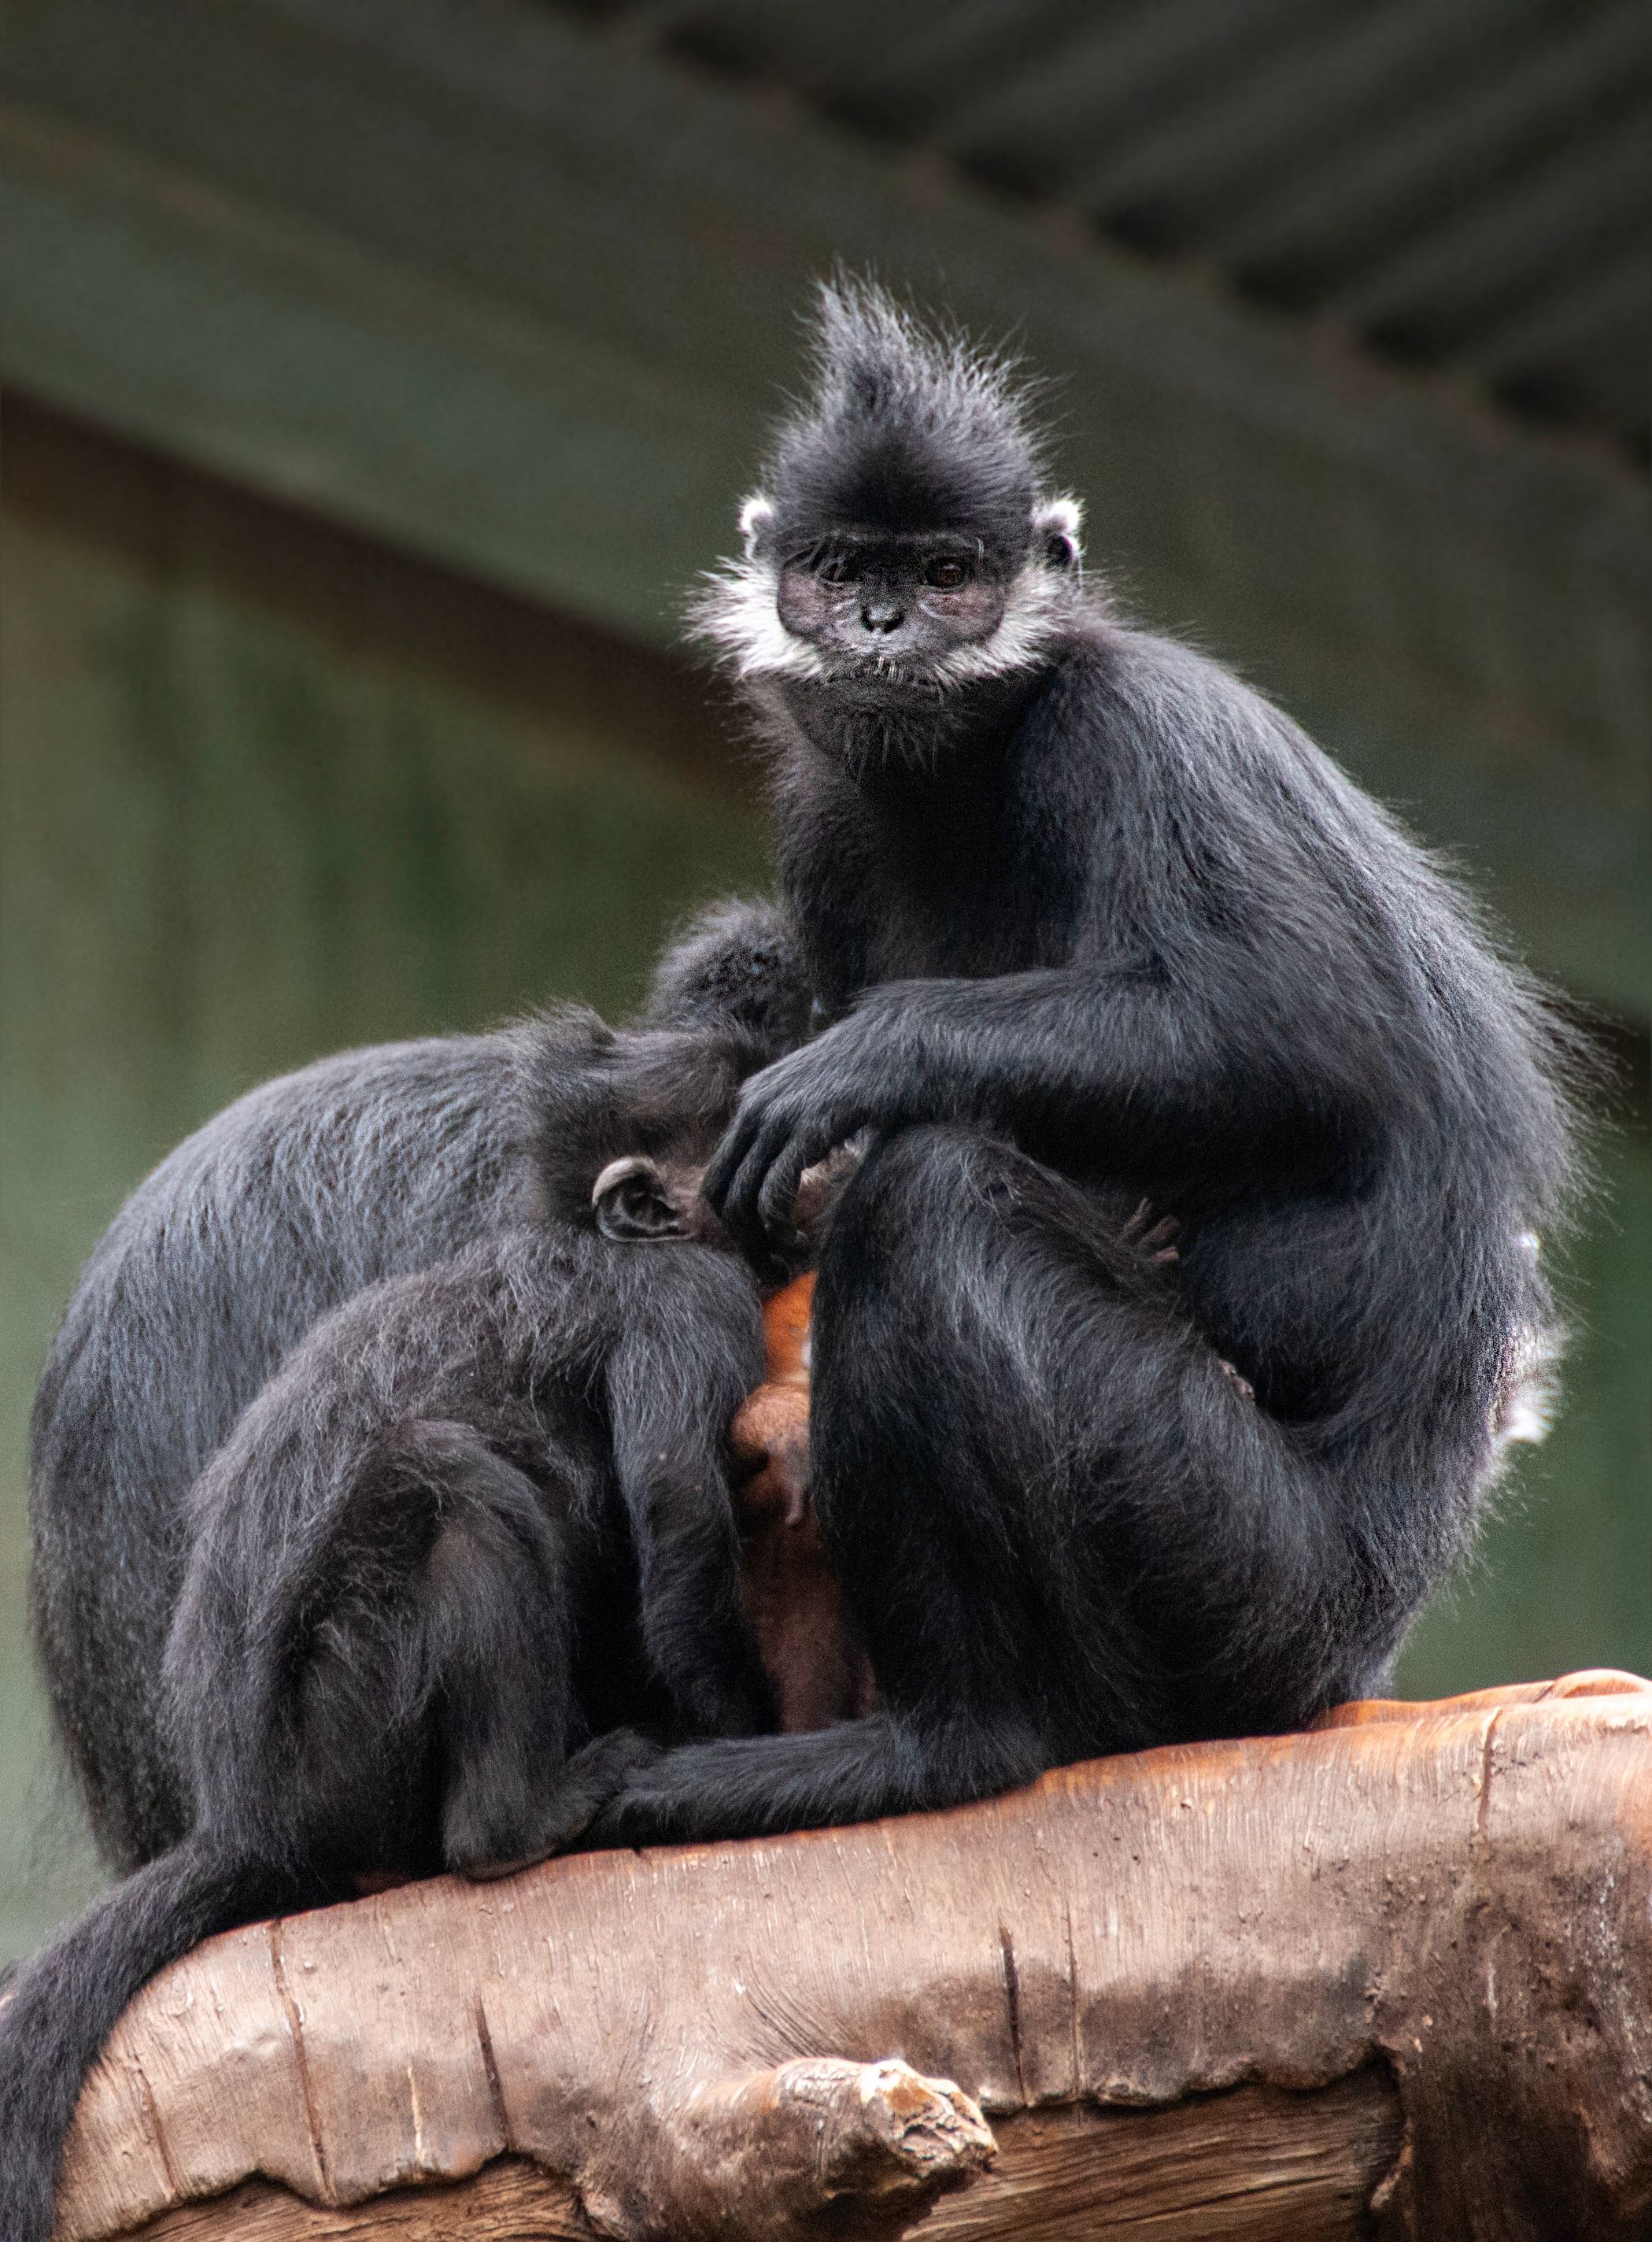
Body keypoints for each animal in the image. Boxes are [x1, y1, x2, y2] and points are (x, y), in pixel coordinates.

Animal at [2, 999, 808, 2242]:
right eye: (759, 1142)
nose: (828, 1162)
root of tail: (247, 1816)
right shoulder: (685, 1300)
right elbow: (677, 1520)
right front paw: (744, 1744)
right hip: (347, 1723)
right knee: (460, 1489)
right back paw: (512, 1819)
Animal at [579, 277, 1585, 1851]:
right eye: (834, 569)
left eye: (944, 573)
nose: (878, 621)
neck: (962, 777)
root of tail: (1362, 1630)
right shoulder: (827, 820)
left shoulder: (1135, 728)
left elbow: (1303, 1025)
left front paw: (863, 1062)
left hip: (1236, 1578)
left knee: (935, 1204)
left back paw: (940, 1745)